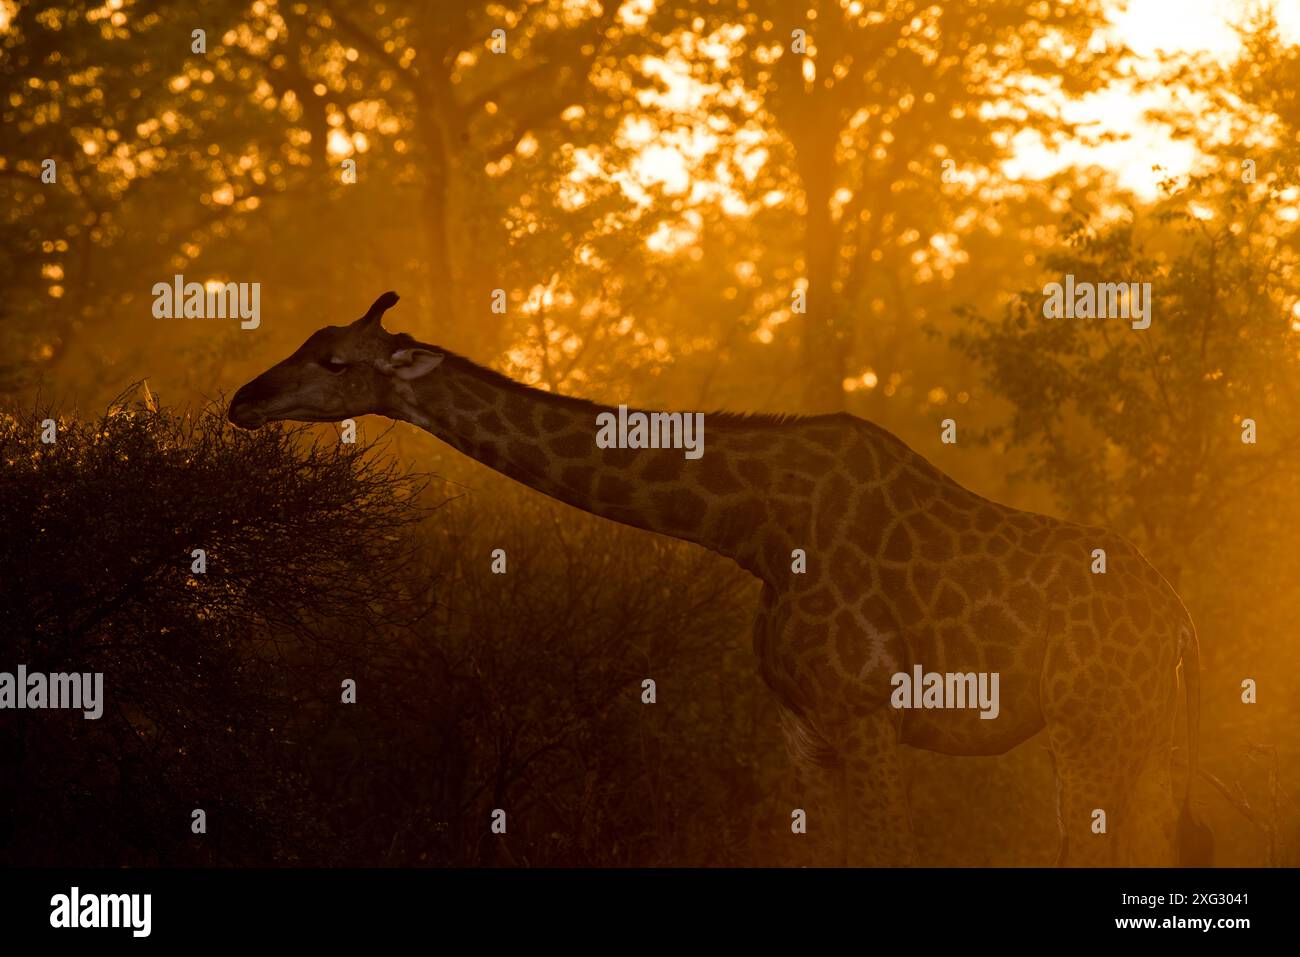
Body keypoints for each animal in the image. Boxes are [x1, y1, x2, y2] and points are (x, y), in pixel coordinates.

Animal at [229, 291, 1211, 867]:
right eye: (309, 343)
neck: (753, 528)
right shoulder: (804, 725)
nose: (245, 399)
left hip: (1094, 727)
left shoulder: (865, 710)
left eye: (335, 360)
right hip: (1145, 737)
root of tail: (1180, 620)